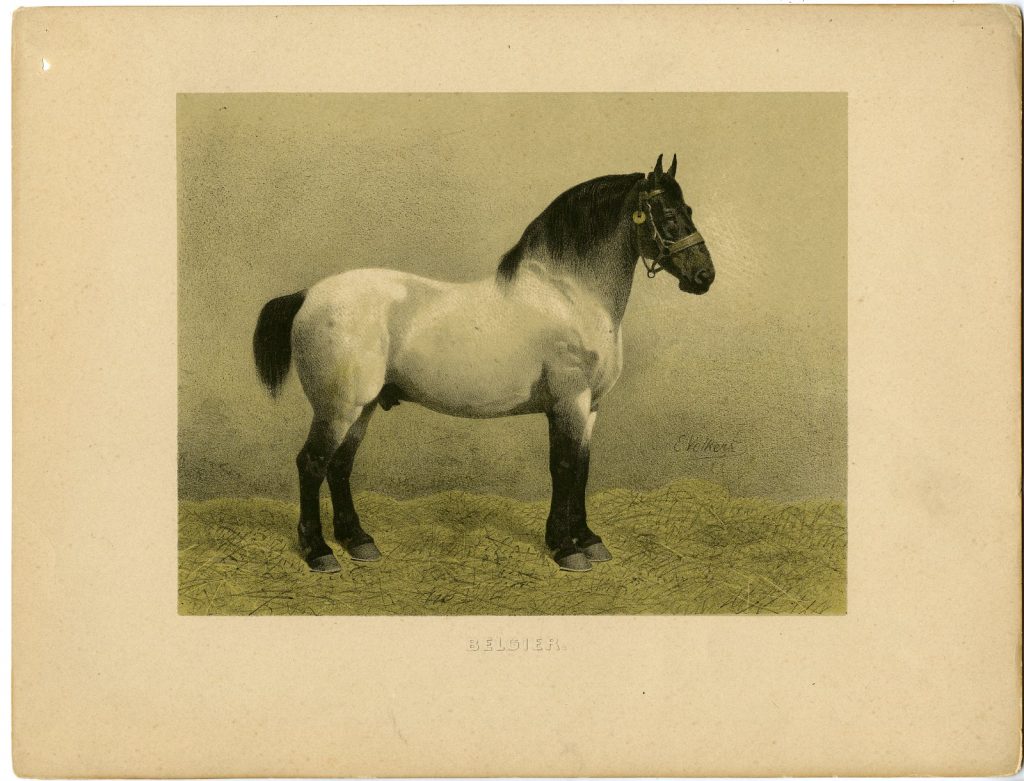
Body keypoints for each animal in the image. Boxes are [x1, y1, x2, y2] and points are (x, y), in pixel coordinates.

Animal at [252, 154, 715, 573]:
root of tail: (308, 296)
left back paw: (359, 541)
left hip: (361, 407)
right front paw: (566, 549)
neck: (567, 295)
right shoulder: (569, 402)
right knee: (312, 464)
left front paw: (587, 540)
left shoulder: (591, 407)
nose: (704, 277)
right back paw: (319, 552)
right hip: (338, 408)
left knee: (340, 466)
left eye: (688, 211)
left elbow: (582, 469)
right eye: (668, 216)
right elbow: (564, 468)